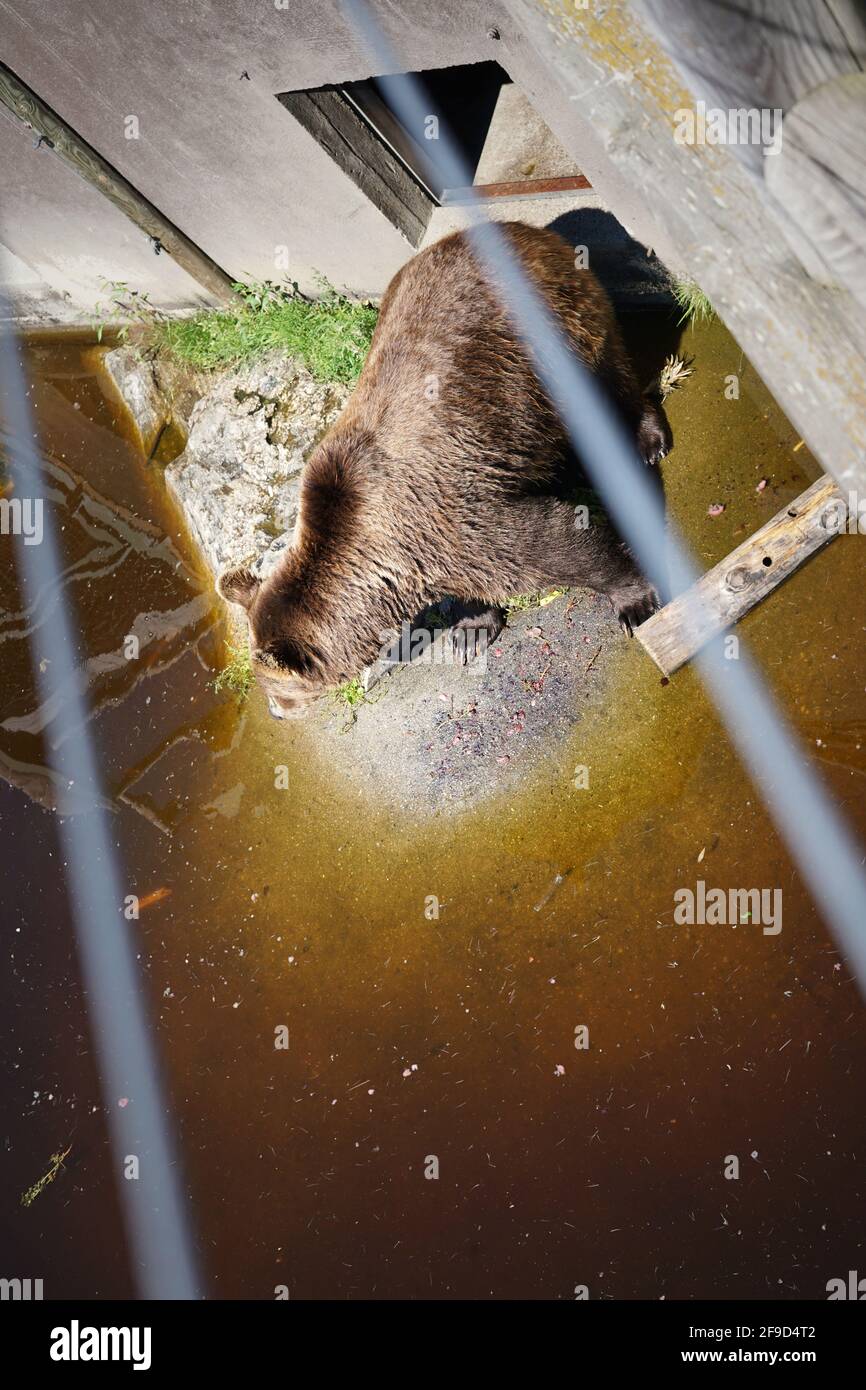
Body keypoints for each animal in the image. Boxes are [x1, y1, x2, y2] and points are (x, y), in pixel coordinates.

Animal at [219, 221, 671, 719]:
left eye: (277, 688)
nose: (275, 712)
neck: (379, 564)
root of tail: (518, 227)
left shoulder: (448, 516)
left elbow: (553, 542)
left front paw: (634, 600)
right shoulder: (429, 546)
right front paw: (471, 631)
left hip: (551, 322)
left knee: (606, 374)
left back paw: (647, 440)